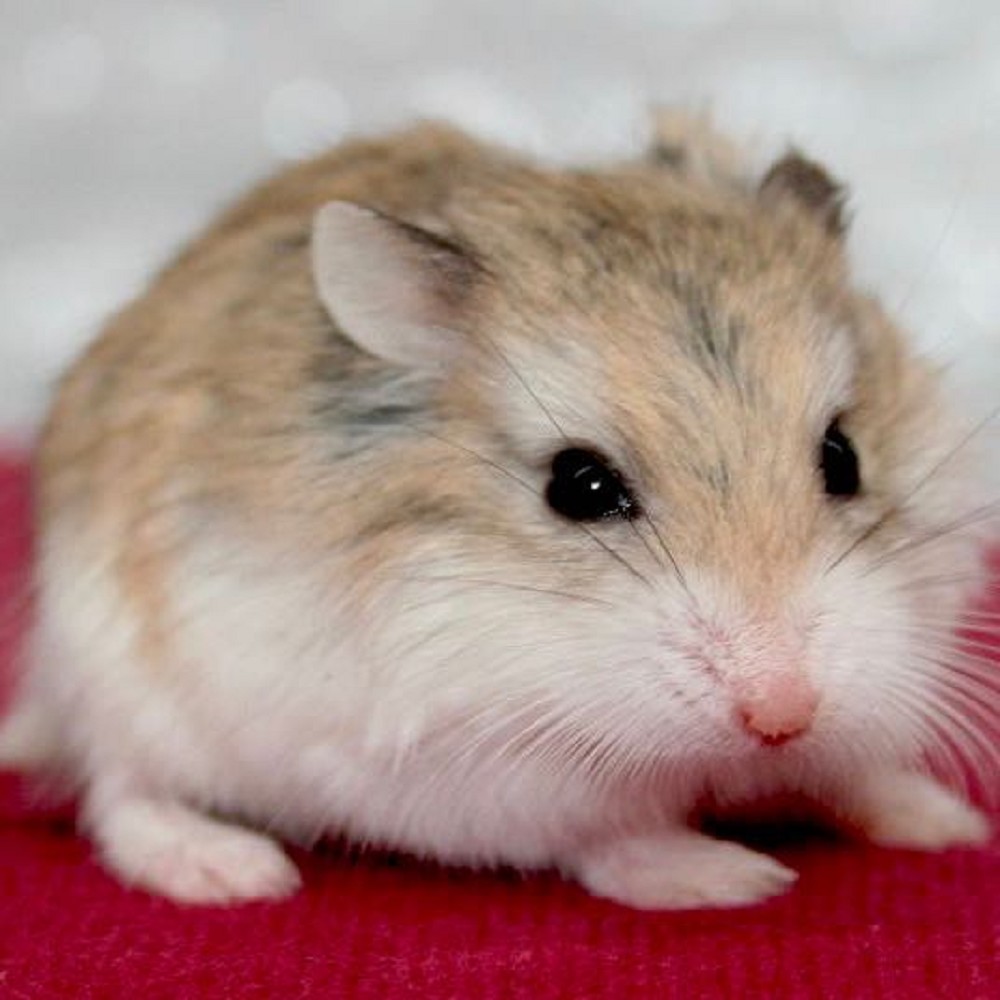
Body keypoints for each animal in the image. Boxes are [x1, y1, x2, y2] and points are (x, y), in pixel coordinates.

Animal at [1, 113, 996, 909]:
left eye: (844, 457)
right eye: (579, 486)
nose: (782, 713)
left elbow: (846, 769)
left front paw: (943, 820)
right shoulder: (475, 771)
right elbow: (608, 832)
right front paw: (736, 878)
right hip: (119, 677)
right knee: (118, 791)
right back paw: (233, 871)